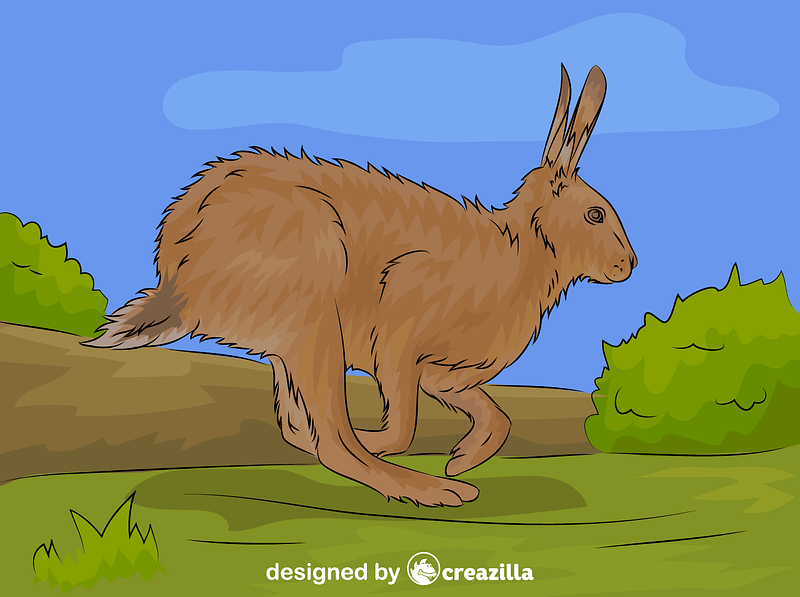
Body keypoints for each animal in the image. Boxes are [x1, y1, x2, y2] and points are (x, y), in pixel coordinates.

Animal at [84, 64, 636, 507]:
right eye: (595, 214)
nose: (629, 265)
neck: (522, 251)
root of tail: (178, 280)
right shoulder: (400, 328)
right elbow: (403, 425)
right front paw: (442, 465)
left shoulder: (443, 375)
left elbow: (493, 416)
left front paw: (461, 457)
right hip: (315, 305)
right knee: (332, 438)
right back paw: (436, 491)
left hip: (292, 343)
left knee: (296, 424)